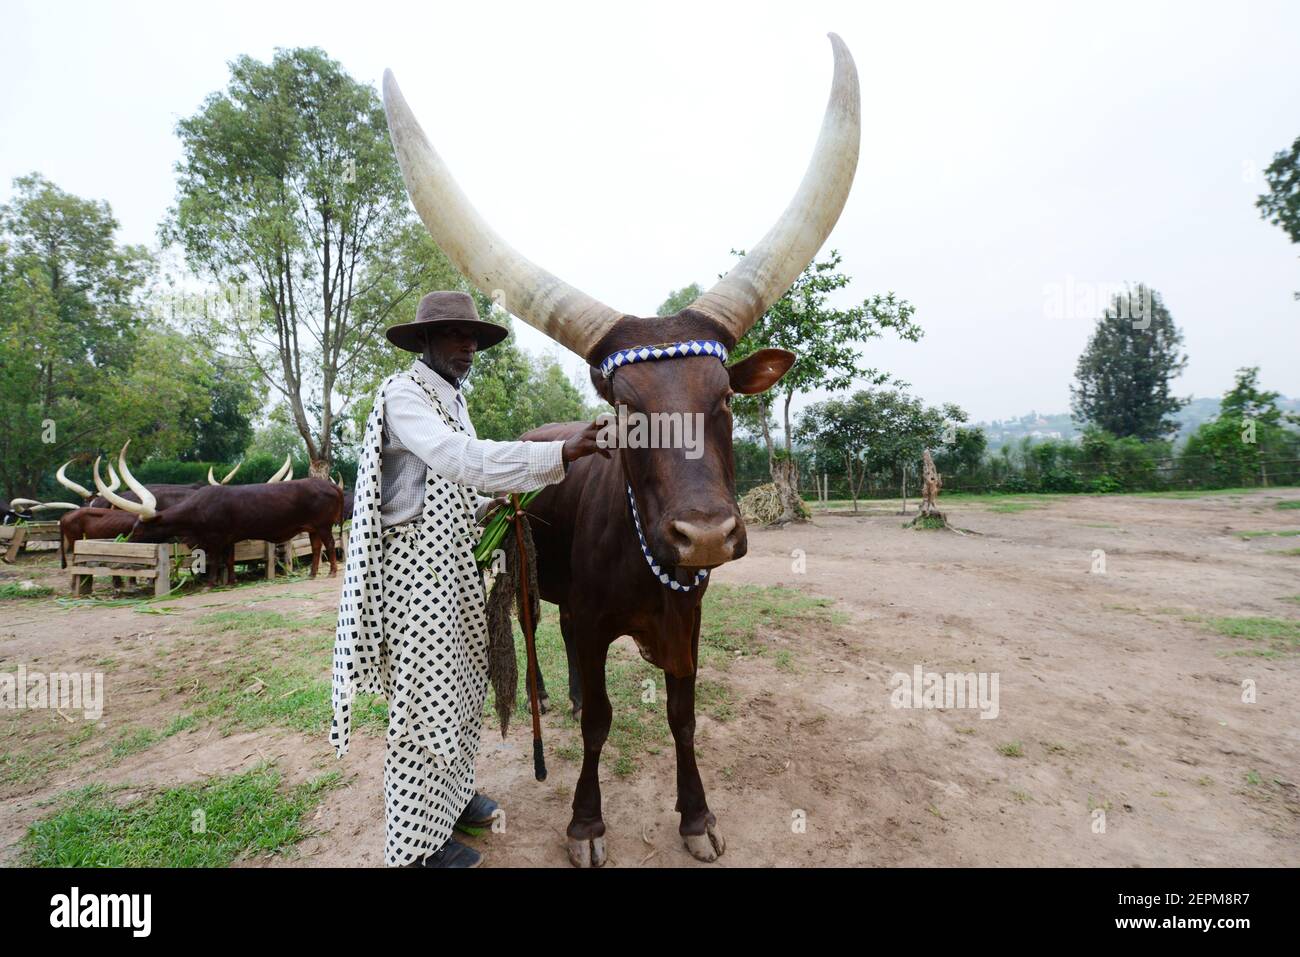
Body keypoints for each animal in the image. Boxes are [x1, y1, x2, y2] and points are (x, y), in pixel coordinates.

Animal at [93, 449, 342, 585]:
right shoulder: (228, 539)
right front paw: (230, 581)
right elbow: (228, 560)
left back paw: (331, 572)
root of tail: (331, 486)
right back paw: (312, 574)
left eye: (139, 529)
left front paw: (211, 583)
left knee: (329, 545)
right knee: (317, 548)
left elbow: (213, 561)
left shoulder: (213, 539)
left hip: (324, 525)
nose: (127, 544)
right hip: (312, 528)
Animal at [382, 33, 860, 866]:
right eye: (627, 411)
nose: (706, 534)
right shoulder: (591, 616)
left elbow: (681, 712)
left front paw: (696, 814)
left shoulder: (687, 620)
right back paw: (550, 695)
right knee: (535, 633)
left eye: (724, 399)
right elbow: (604, 723)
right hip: (531, 580)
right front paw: (585, 821)